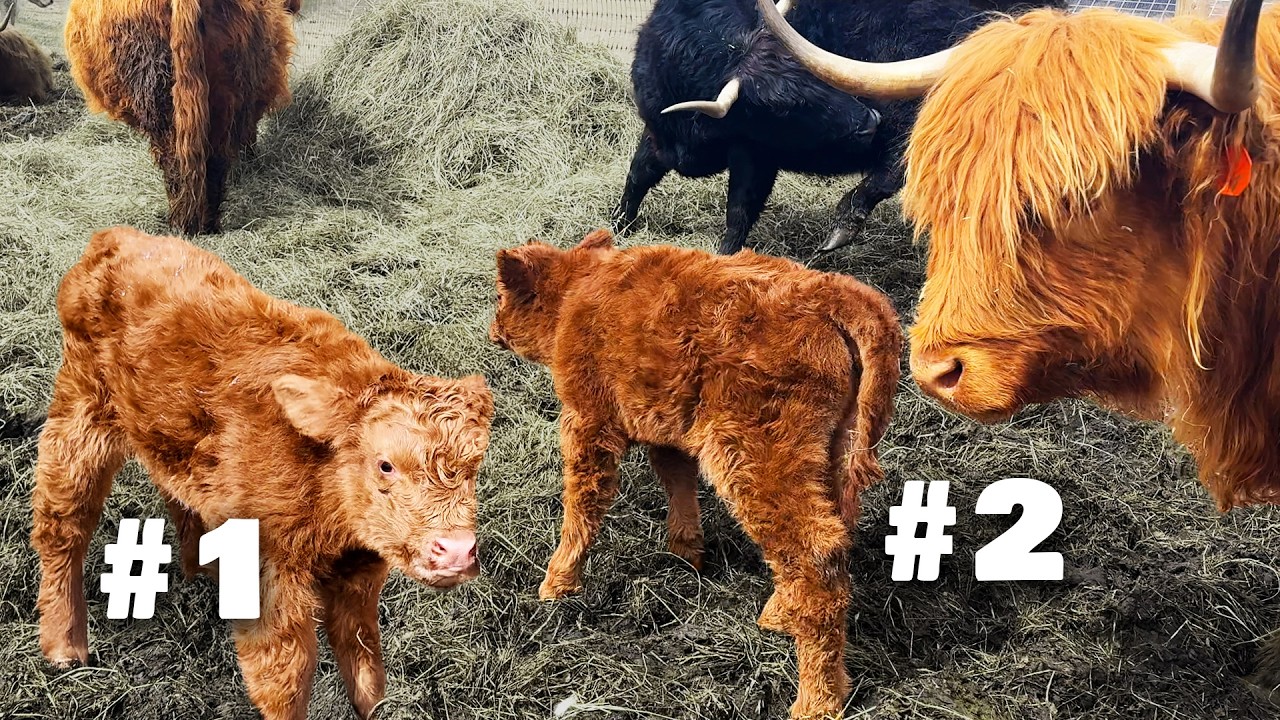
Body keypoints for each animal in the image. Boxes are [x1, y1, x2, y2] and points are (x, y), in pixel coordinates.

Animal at [33, 227, 494, 720]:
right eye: (385, 464)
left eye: (474, 466)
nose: (456, 551)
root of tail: (117, 238)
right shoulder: (272, 578)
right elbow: (285, 674)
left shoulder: (358, 574)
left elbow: (365, 661)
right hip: (81, 413)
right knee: (63, 522)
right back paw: (64, 647)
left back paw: (201, 566)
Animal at [64, 0, 296, 235]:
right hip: (224, 100)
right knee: (213, 164)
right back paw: (205, 225)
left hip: (162, 103)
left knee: (176, 164)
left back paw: (181, 224)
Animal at [489, 229, 902, 719]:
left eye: (500, 294)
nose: (493, 329)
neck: (577, 291)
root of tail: (830, 290)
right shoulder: (664, 426)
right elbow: (677, 481)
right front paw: (687, 553)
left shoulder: (587, 421)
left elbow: (582, 503)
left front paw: (558, 582)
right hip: (834, 452)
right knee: (831, 532)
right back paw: (780, 613)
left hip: (759, 456)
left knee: (816, 557)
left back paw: (817, 700)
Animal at [615, 0, 1065, 255]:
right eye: (784, 106)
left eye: (815, 74)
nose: (870, 120)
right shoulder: (662, 137)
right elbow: (638, 176)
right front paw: (618, 227)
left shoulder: (754, 157)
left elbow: (738, 211)